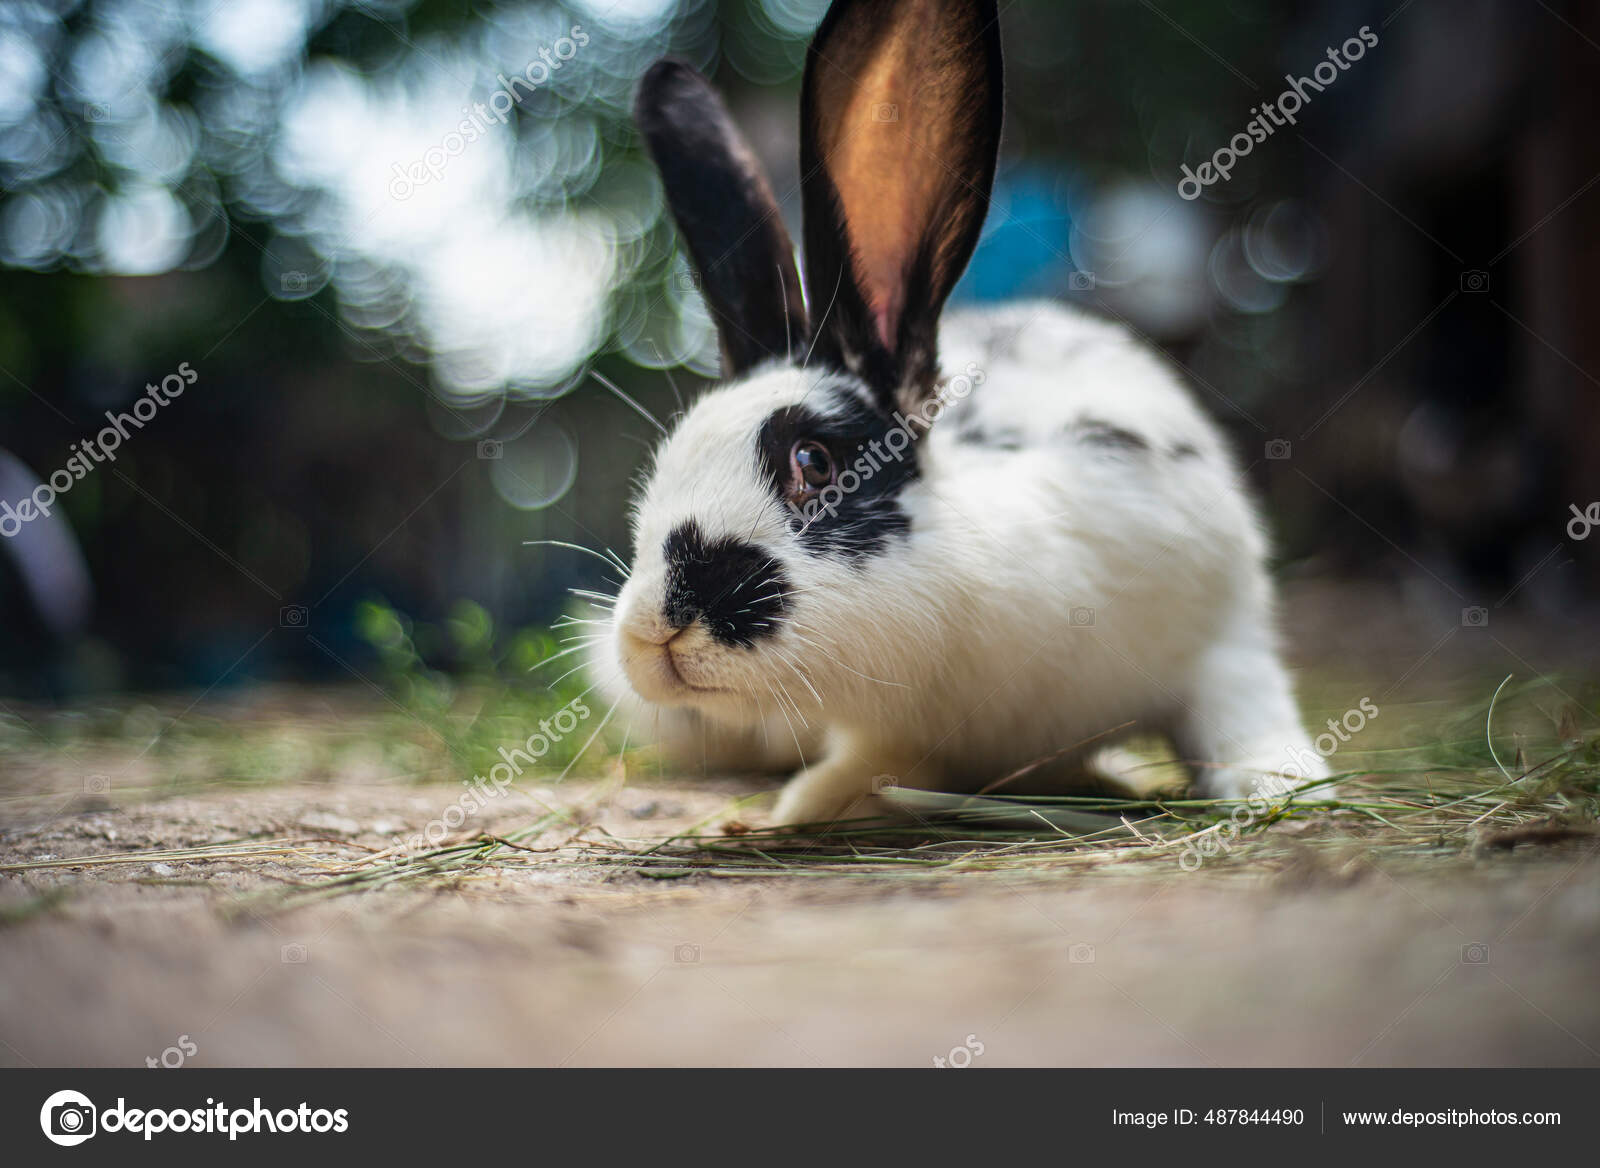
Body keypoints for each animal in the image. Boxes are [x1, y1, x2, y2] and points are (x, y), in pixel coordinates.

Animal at [583, 0, 1331, 827]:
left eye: (814, 461)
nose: (655, 628)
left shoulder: (1224, 635)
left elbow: (1241, 709)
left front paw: (1279, 783)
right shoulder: (899, 733)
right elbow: (875, 763)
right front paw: (810, 803)